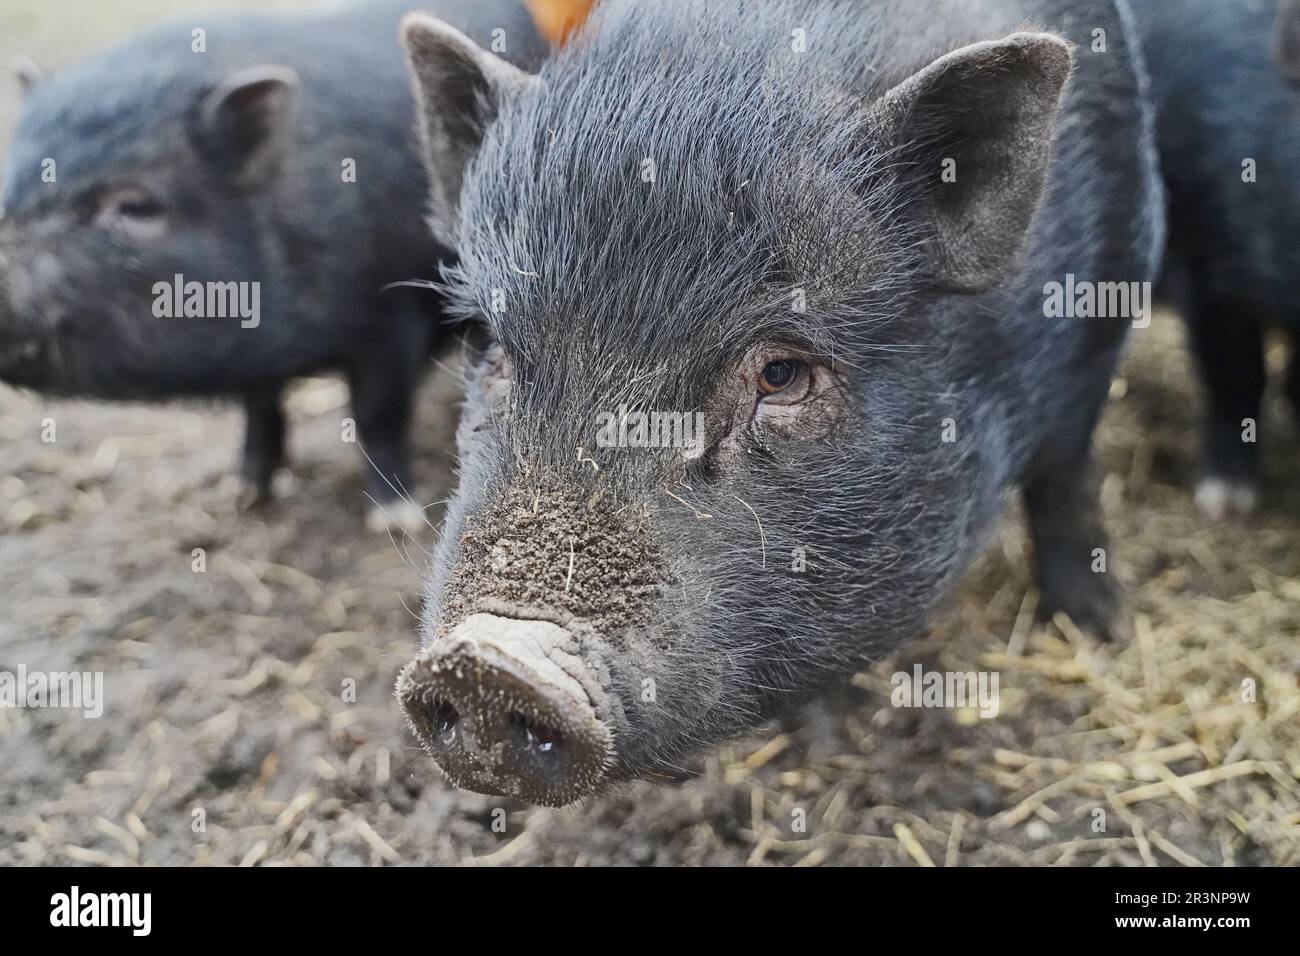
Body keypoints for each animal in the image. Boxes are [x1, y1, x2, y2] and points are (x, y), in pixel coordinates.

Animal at [0, 0, 547, 530]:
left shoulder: (391, 317)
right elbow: (259, 407)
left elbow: (377, 414)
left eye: (135, 206)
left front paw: (395, 520)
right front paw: (241, 497)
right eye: (10, 181)